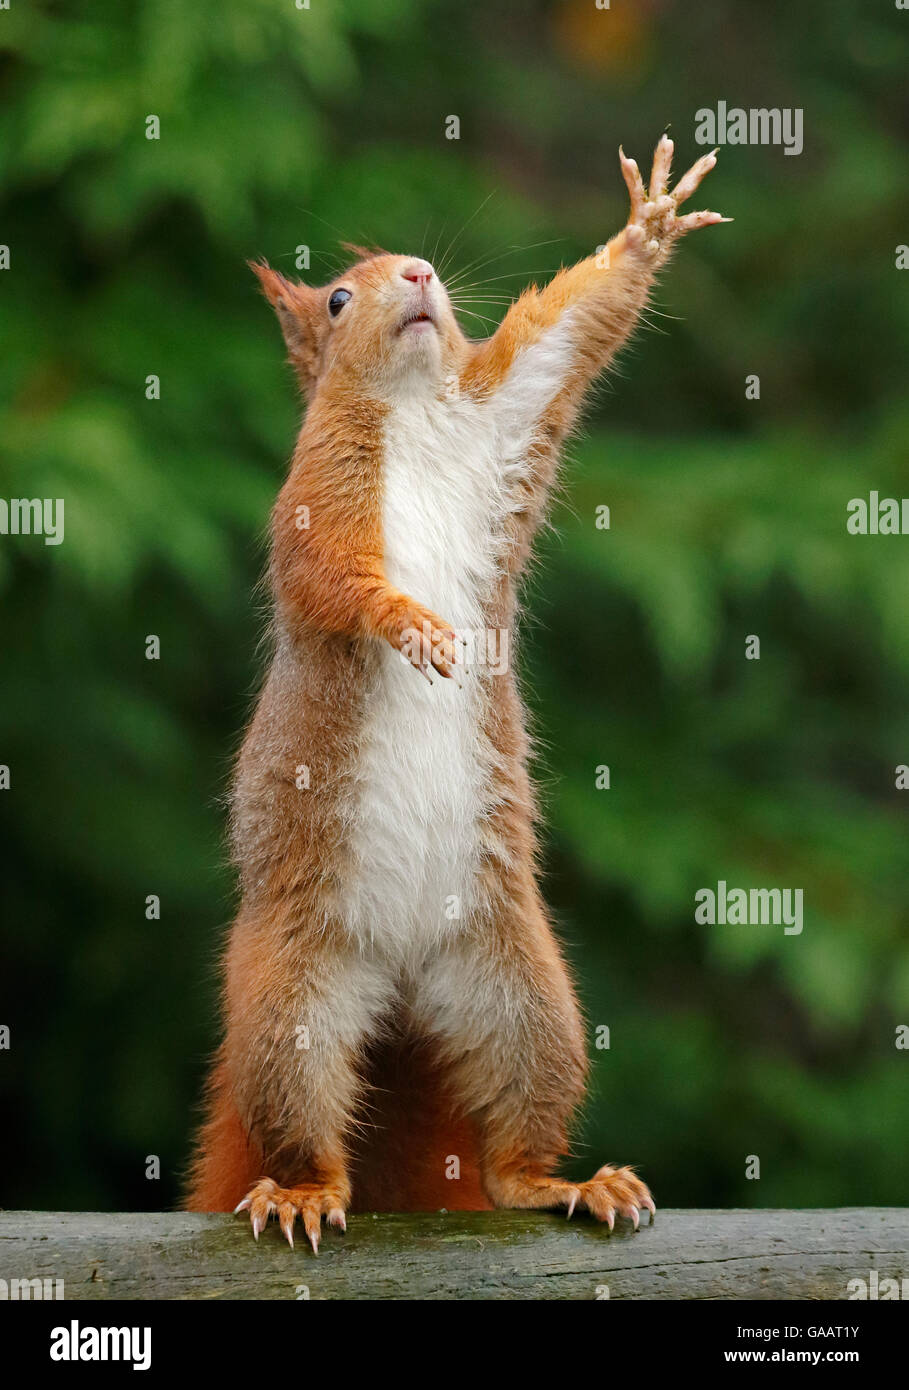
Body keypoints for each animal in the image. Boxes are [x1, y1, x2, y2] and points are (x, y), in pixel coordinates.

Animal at [186, 136, 726, 1251]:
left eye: (414, 263)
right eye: (337, 297)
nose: (420, 276)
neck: (411, 410)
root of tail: (396, 983)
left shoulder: (505, 415)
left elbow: (566, 335)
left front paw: (645, 228)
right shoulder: (315, 498)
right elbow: (329, 580)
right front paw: (410, 623)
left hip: (520, 990)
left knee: (515, 1132)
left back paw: (561, 1181)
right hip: (290, 1001)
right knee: (301, 1120)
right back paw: (302, 1191)